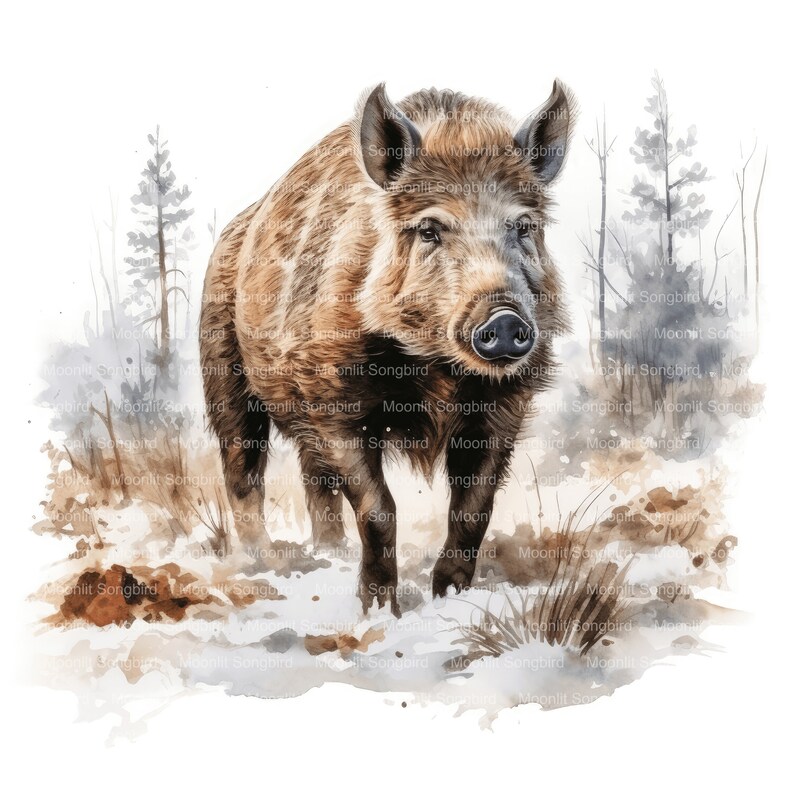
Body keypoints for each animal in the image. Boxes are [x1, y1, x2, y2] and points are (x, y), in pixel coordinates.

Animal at [200, 80, 575, 615]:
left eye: (523, 226)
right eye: (430, 229)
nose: (503, 319)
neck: (438, 372)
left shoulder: (505, 406)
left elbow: (474, 508)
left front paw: (450, 598)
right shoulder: (334, 399)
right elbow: (379, 510)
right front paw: (380, 610)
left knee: (315, 479)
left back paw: (330, 553)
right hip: (223, 371)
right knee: (243, 471)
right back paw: (264, 564)